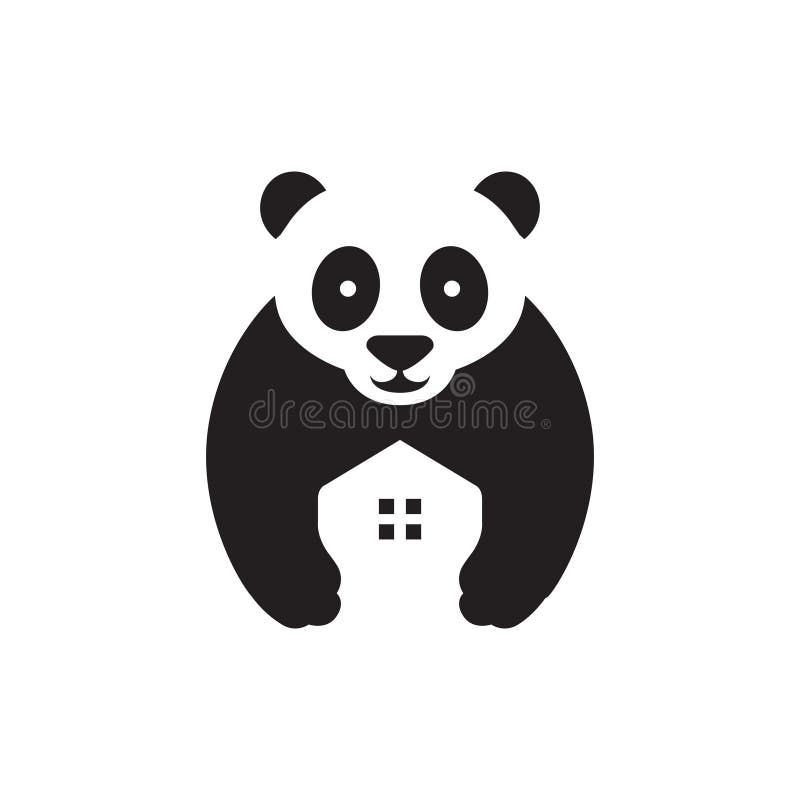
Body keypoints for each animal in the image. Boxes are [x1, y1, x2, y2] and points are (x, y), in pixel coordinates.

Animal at [206, 171, 594, 628]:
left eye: (453, 287)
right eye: (346, 287)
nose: (400, 349)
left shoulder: (516, 372)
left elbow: (537, 475)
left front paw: (492, 598)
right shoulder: (283, 376)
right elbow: (263, 477)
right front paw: (307, 598)